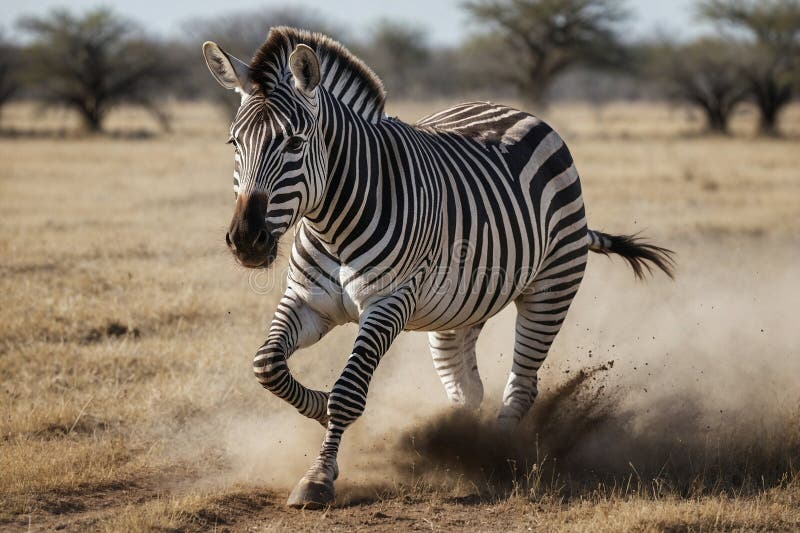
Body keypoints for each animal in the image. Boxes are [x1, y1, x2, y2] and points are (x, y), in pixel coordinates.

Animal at [202, 27, 674, 509]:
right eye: (234, 143)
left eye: (295, 143)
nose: (246, 240)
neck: (333, 222)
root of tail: (516, 111)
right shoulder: (306, 301)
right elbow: (267, 366)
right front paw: (316, 408)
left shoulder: (389, 302)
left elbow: (348, 392)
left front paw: (318, 475)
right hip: (459, 309)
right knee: (467, 389)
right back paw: (455, 446)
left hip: (550, 288)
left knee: (522, 385)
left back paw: (494, 458)